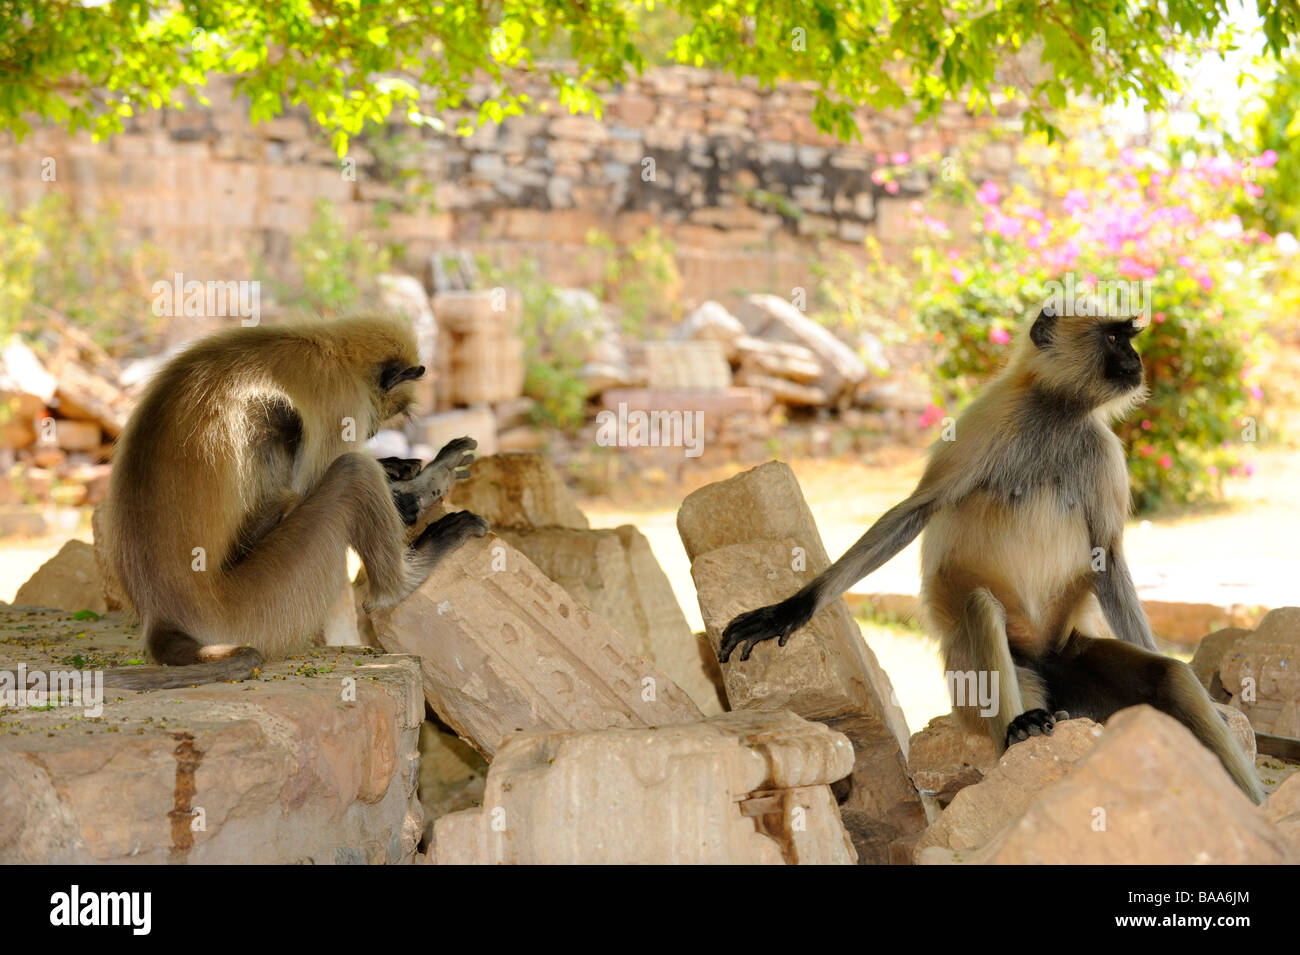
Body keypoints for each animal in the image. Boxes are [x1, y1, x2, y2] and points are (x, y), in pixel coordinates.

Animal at [100, 314, 488, 691]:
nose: (375, 432)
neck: (329, 348)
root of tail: (159, 614)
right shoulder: (339, 398)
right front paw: (419, 486)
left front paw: (403, 469)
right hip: (257, 606)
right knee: (349, 470)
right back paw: (404, 577)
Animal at [719, 306, 1264, 804]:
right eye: (1115, 338)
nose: (1136, 360)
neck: (1056, 412)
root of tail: (1044, 661)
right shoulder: (985, 420)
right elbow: (913, 512)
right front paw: (790, 610)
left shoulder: (1102, 450)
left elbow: (1106, 555)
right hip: (973, 681)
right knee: (981, 609)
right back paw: (1020, 726)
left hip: (1071, 654)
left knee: (1169, 675)